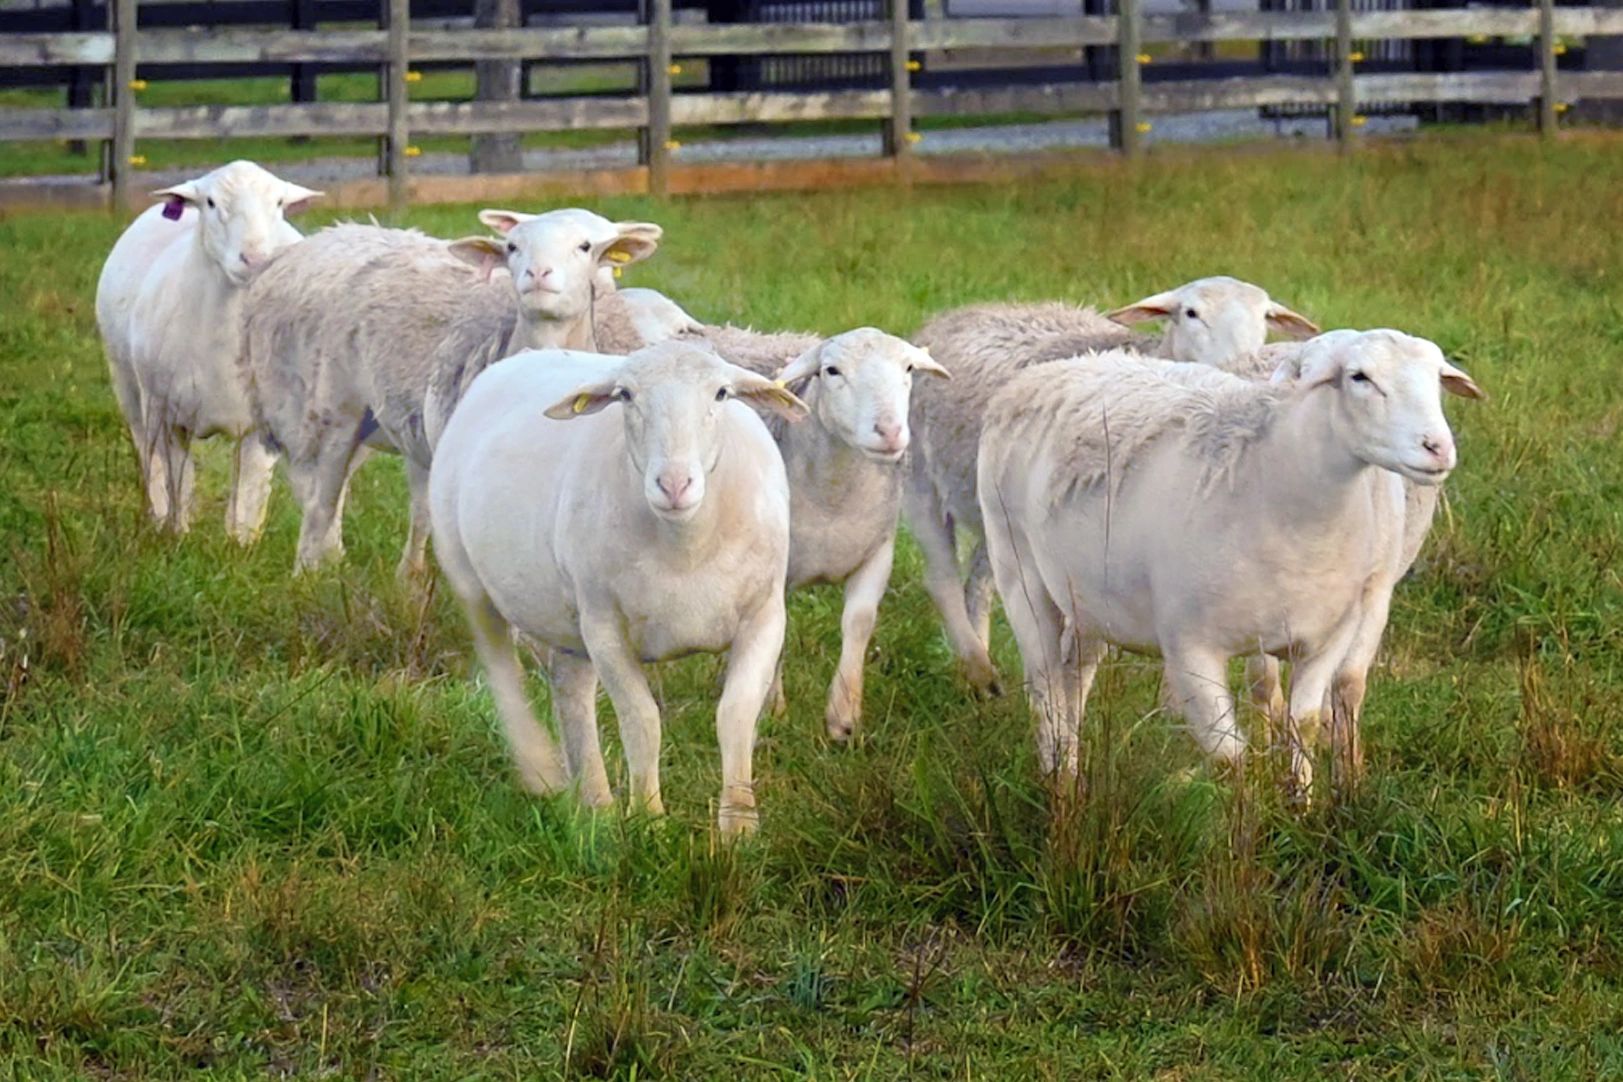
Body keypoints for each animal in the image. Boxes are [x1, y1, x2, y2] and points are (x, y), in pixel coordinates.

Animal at [94, 160, 321, 538]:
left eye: (279, 203)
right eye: (211, 203)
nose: (254, 258)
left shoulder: (261, 426)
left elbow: (247, 493)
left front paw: (241, 544)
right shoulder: (166, 413)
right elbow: (179, 482)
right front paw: (177, 535)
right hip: (126, 382)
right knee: (148, 456)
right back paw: (156, 516)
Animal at [241, 207, 662, 576]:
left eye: (587, 246)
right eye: (512, 246)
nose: (538, 273)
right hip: (331, 410)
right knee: (321, 503)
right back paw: (309, 574)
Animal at [428, 340, 808, 834]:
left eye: (722, 393)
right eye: (625, 395)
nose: (674, 484)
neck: (685, 546)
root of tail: (525, 355)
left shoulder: (765, 619)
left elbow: (736, 715)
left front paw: (740, 826)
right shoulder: (605, 628)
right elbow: (641, 720)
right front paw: (649, 819)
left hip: (567, 618)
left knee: (570, 691)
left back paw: (595, 804)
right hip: (470, 578)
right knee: (502, 670)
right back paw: (540, 769)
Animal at [906, 277, 1319, 695]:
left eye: (1264, 317)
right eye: (1191, 313)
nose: (1244, 362)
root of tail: (957, 314)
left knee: (978, 581)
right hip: (920, 478)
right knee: (942, 578)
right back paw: (978, 668)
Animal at [975, 330, 1484, 791]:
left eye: (1437, 380)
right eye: (1359, 377)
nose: (1438, 448)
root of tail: (1048, 372)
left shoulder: (1324, 641)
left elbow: (1304, 726)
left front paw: (1300, 808)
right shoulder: (1190, 649)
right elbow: (1230, 759)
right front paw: (1247, 832)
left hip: (1088, 599)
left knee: (1073, 678)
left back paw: (1069, 769)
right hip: (1016, 567)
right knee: (1044, 682)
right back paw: (1057, 783)